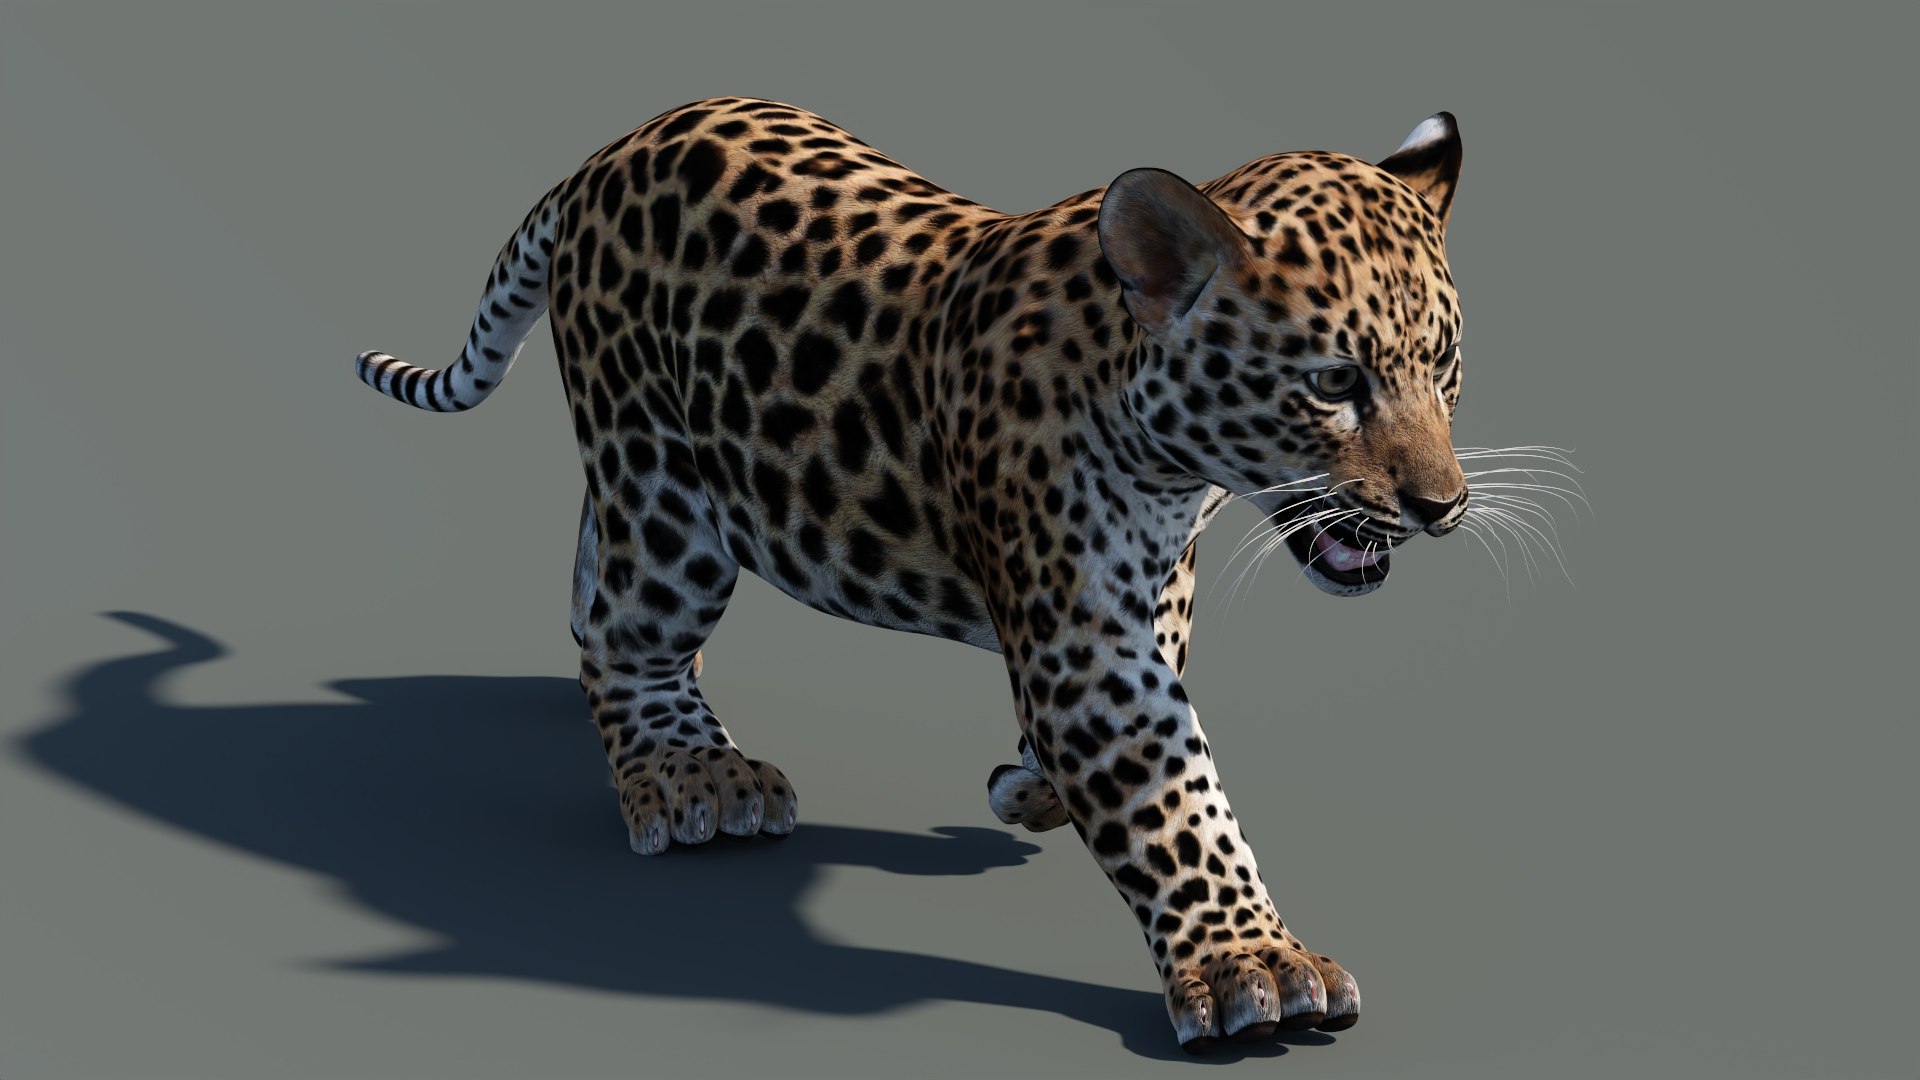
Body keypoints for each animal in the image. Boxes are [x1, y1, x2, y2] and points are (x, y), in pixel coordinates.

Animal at [354, 97, 1470, 1052]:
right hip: (665, 490)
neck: (1167, 454)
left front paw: (1028, 786)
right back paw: (692, 774)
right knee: (630, 636)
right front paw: (1254, 963)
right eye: (1332, 381)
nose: (1444, 508)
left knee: (597, 574)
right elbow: (1168, 789)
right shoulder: (1082, 637)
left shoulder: (1149, 590)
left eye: (1445, 367)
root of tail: (609, 152)